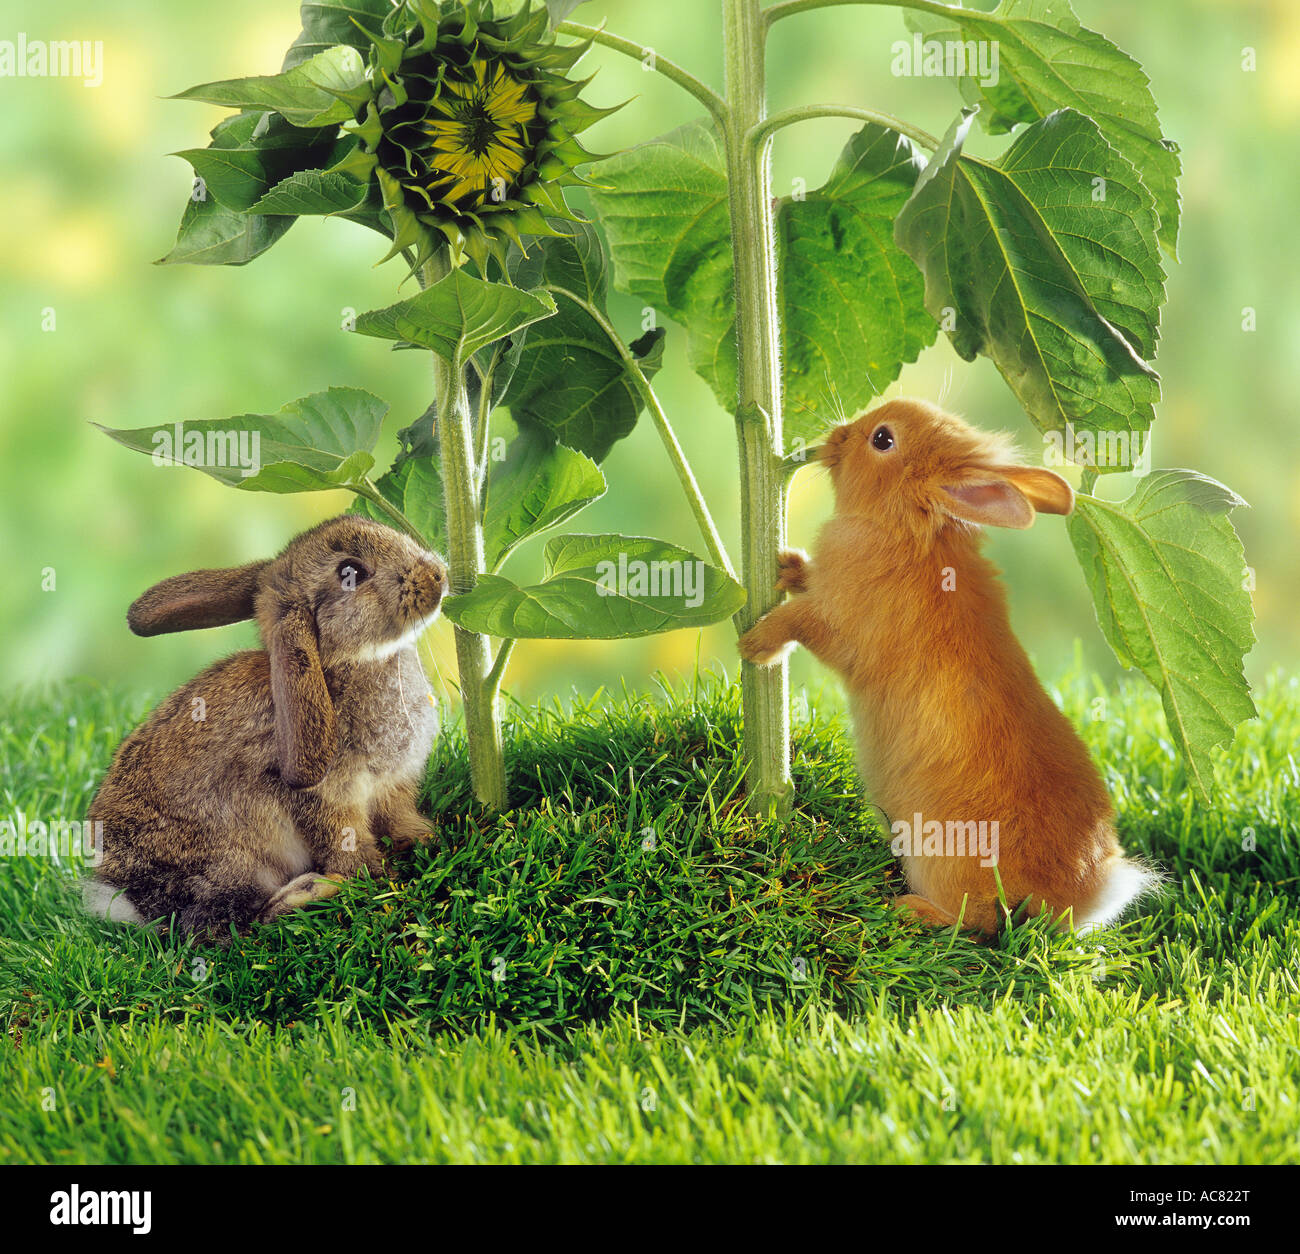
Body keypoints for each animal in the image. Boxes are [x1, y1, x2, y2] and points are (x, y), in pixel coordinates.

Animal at [83, 514, 448, 940]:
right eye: (351, 573)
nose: (437, 574)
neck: (342, 666)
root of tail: (127, 897)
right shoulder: (326, 800)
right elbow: (348, 847)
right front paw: (379, 876)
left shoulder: (393, 787)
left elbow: (400, 819)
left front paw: (425, 838)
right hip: (232, 862)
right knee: (231, 925)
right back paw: (308, 893)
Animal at [739, 398, 1157, 936]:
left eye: (882, 439)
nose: (836, 435)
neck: (912, 525)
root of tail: (1079, 899)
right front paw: (787, 565)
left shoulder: (837, 627)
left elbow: (797, 623)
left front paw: (754, 646)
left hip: (942, 861)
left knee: (970, 921)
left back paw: (908, 908)